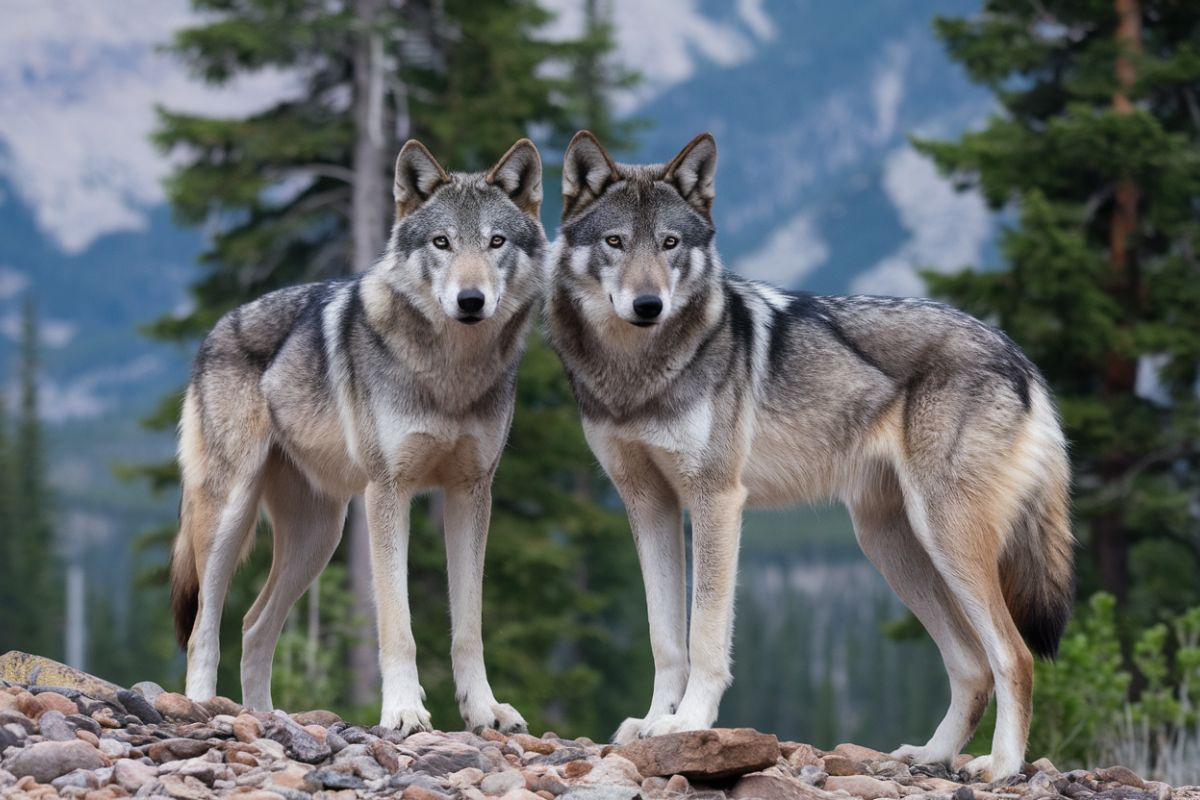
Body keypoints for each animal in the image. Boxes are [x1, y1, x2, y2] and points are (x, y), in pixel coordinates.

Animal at [169, 138, 545, 735]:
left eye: (496, 242)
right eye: (441, 242)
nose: (470, 300)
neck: (451, 375)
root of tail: (217, 328)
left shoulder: (471, 493)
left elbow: (468, 626)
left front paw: (484, 711)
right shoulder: (388, 492)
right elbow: (398, 625)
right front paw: (404, 711)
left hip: (319, 538)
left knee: (253, 624)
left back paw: (263, 714)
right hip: (230, 516)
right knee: (206, 623)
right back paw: (205, 706)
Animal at [544, 131, 1074, 780]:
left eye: (669, 243)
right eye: (615, 242)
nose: (648, 305)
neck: (637, 374)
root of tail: (1017, 354)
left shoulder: (717, 500)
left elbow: (705, 634)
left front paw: (687, 722)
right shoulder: (647, 506)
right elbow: (665, 637)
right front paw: (650, 721)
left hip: (946, 536)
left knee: (1013, 656)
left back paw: (1000, 767)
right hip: (890, 545)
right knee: (972, 664)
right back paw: (930, 755)